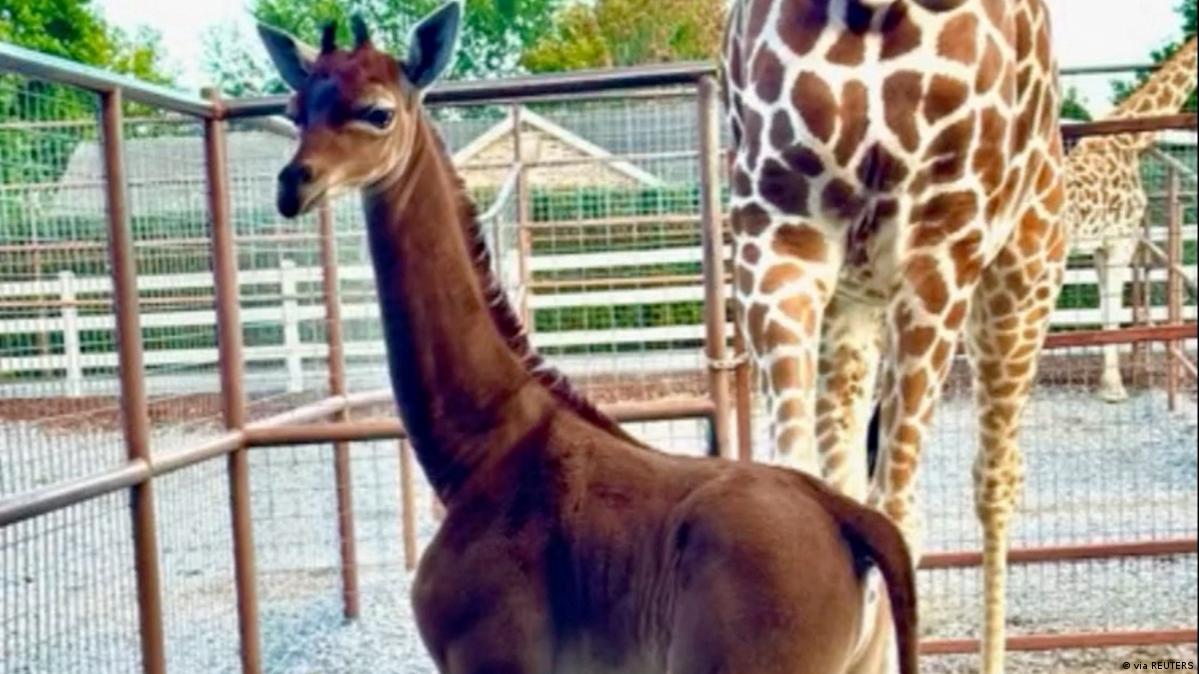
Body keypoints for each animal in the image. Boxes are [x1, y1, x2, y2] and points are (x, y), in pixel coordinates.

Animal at [258, 4, 920, 673]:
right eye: (295, 108)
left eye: (378, 112)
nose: (293, 184)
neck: (478, 450)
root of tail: (850, 521)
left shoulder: (490, 658)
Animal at [721, 1, 1068, 672]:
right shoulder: (778, 231)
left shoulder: (941, 243)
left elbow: (899, 517)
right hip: (854, 307)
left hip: (1024, 276)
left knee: (995, 479)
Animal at [1065, 36, 1198, 403]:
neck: (1128, 139)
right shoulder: (1121, 239)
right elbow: (1112, 307)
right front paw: (1113, 388)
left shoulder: (1101, 245)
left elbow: (1105, 305)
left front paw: (1108, 384)